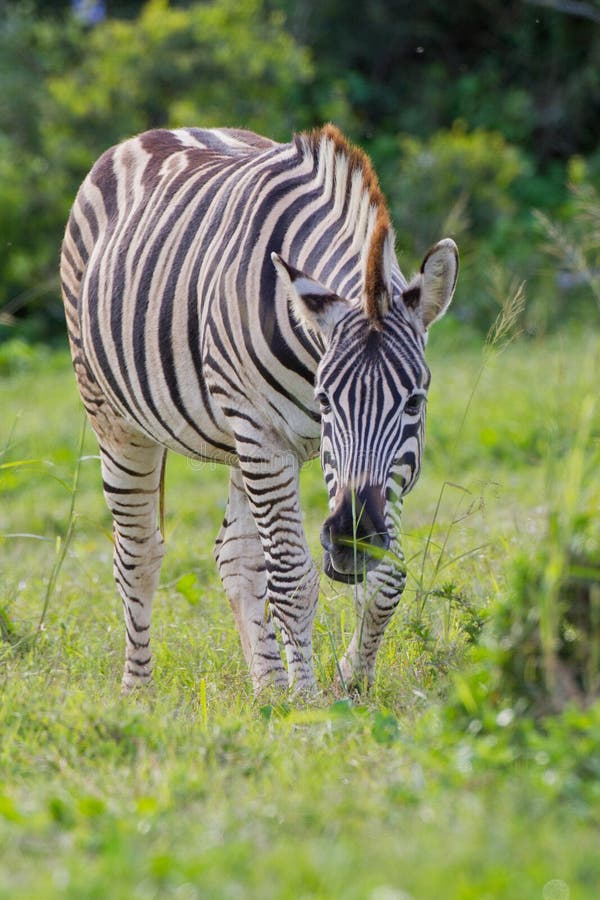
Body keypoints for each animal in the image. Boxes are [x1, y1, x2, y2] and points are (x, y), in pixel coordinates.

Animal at [60, 123, 458, 696]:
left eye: (413, 401)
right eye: (325, 400)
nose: (350, 542)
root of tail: (156, 131)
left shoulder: (373, 473)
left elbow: (388, 577)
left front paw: (348, 682)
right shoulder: (263, 434)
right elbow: (292, 578)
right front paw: (310, 701)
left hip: (237, 447)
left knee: (236, 556)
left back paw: (267, 689)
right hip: (116, 419)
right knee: (137, 555)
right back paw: (138, 691)